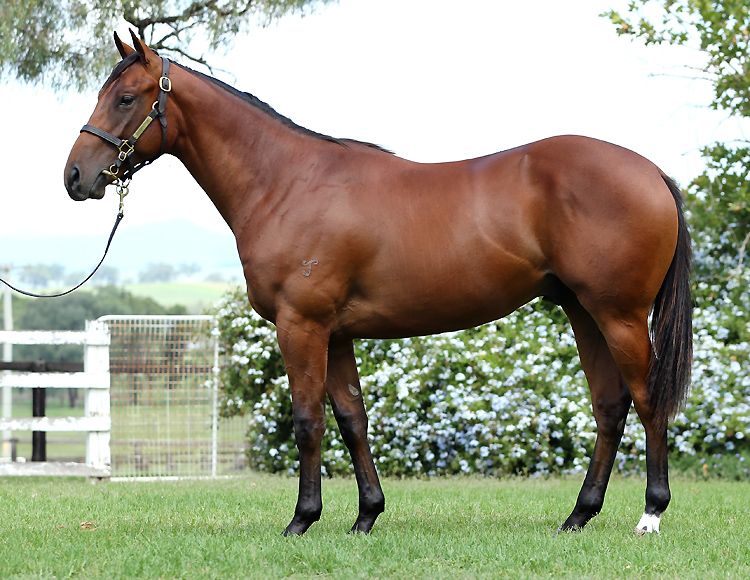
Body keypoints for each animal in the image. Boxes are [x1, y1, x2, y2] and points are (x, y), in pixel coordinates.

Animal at [65, 31, 692, 537]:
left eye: (125, 98)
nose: (75, 176)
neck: (287, 182)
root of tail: (651, 171)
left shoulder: (302, 326)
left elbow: (308, 421)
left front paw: (301, 520)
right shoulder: (337, 333)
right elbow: (352, 420)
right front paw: (366, 515)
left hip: (619, 315)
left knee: (647, 400)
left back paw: (651, 514)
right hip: (583, 311)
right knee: (610, 405)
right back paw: (579, 515)